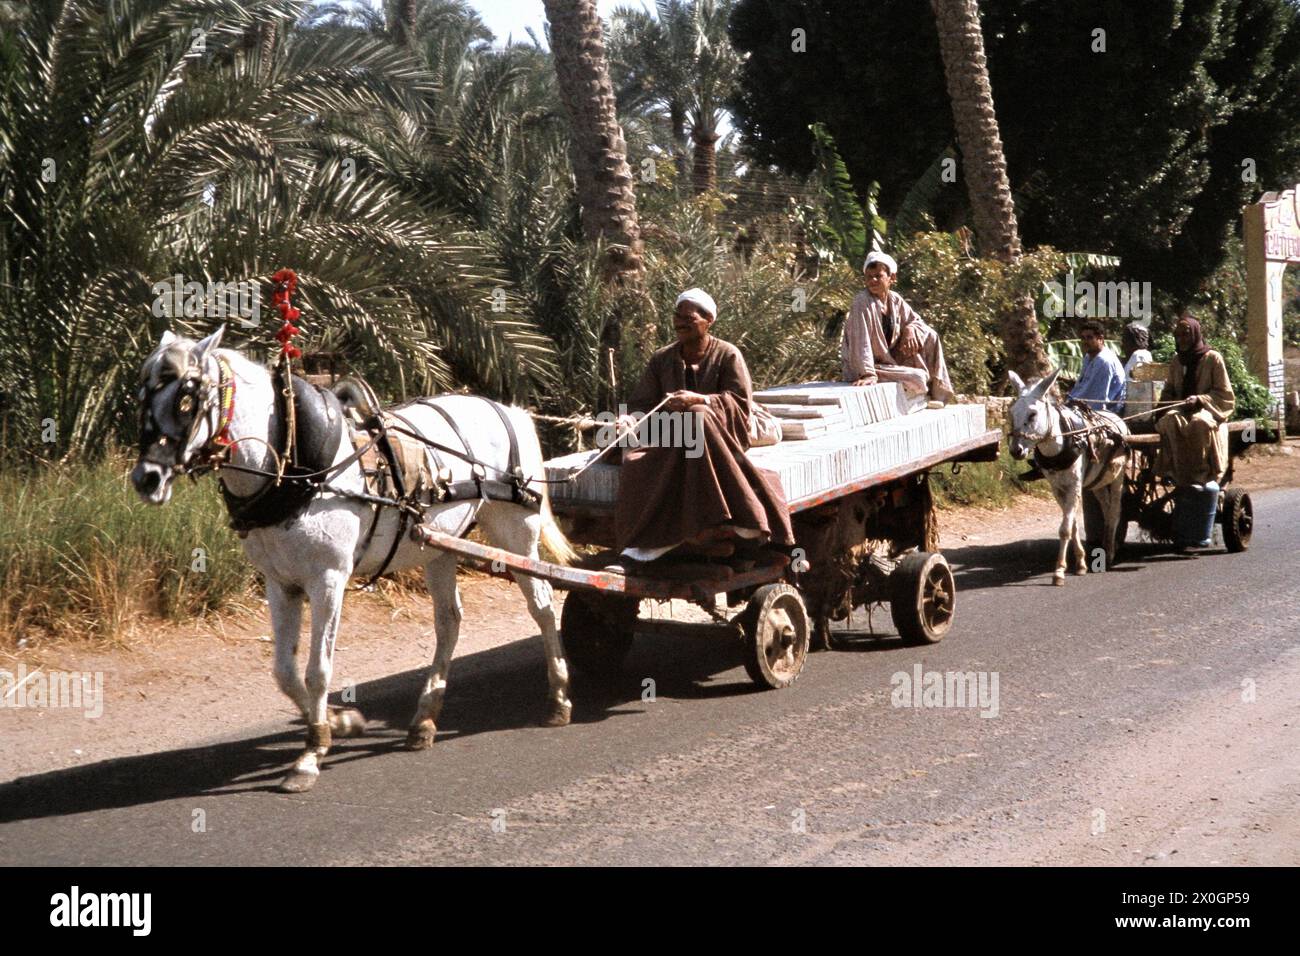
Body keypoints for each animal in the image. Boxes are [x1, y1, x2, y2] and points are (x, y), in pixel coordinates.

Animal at [130, 327, 577, 793]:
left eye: (186, 399)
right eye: (141, 396)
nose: (146, 478)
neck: (295, 464)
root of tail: (506, 408)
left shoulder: (327, 579)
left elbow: (317, 670)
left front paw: (311, 753)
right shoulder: (280, 583)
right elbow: (284, 672)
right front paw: (340, 722)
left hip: (514, 535)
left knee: (543, 605)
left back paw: (559, 698)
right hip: (439, 545)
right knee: (449, 622)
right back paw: (424, 719)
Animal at [1006, 368, 1129, 586]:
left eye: (1033, 414)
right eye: (1011, 413)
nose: (1016, 450)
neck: (1059, 444)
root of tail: (1116, 417)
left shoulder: (1074, 486)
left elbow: (1065, 528)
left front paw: (1059, 572)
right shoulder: (1057, 488)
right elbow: (1071, 525)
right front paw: (1080, 563)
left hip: (1118, 477)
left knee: (1114, 511)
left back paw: (1110, 553)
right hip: (1097, 482)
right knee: (1106, 508)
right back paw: (1107, 544)